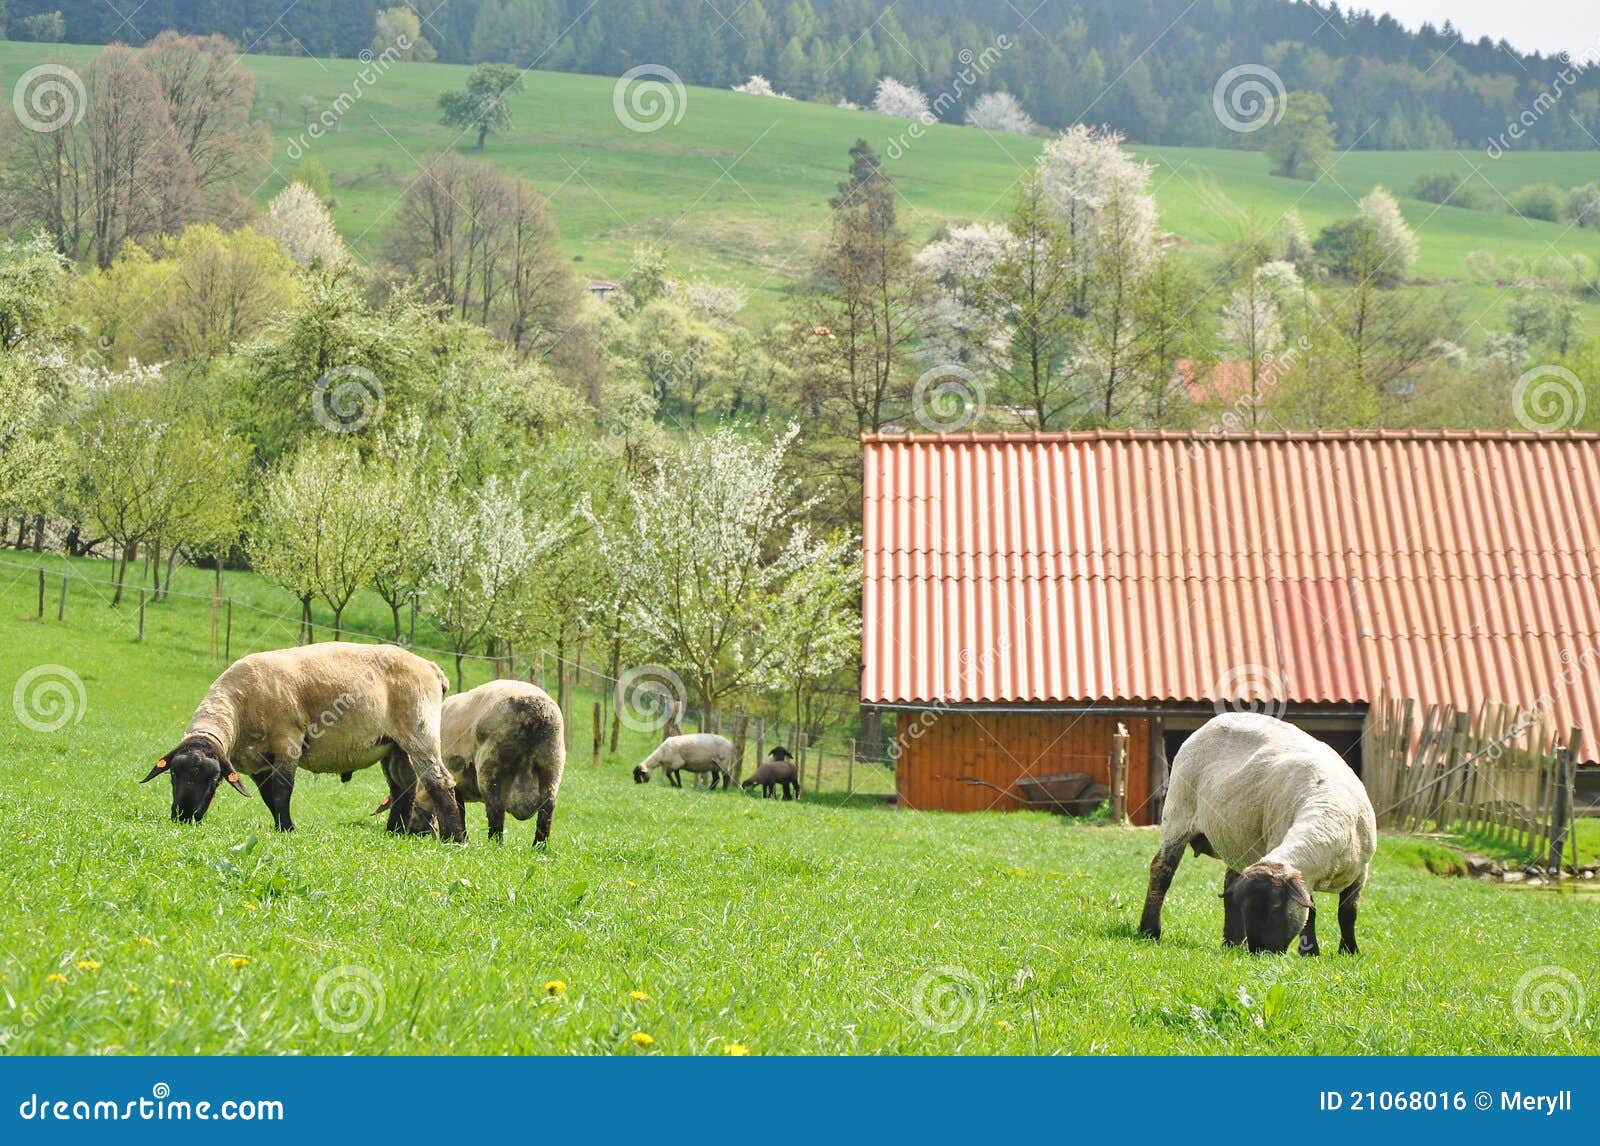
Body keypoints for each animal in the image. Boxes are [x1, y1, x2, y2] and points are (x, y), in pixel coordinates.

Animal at [140, 642, 464, 841]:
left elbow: (282, 791)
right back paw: (395, 832)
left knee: (438, 781)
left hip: (419, 731)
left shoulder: (288, 740)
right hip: (392, 745)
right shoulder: (258, 762)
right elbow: (269, 796)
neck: (238, 705)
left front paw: (287, 829)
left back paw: (454, 838)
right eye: (173, 774)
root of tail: (431, 668)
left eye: (214, 780)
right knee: (404, 786)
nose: (184, 816)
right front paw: (281, 825)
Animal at [376, 680, 565, 844]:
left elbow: (460, 812)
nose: (409, 834)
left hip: (491, 762)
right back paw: (539, 847)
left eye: (412, 809)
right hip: (552, 762)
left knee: (496, 808)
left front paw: (462, 838)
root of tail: (533, 713)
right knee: (547, 808)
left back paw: (494, 844)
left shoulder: (456, 778)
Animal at [1137, 712, 1376, 955]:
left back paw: (1232, 943)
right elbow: (1312, 914)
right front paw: (1310, 952)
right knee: (1162, 870)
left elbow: (1348, 913)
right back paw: (1150, 931)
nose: (1261, 952)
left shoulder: (1361, 872)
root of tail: (1214, 721)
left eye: (1276, 907)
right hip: (1178, 814)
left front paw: (1349, 951)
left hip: (1236, 840)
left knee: (1228, 883)